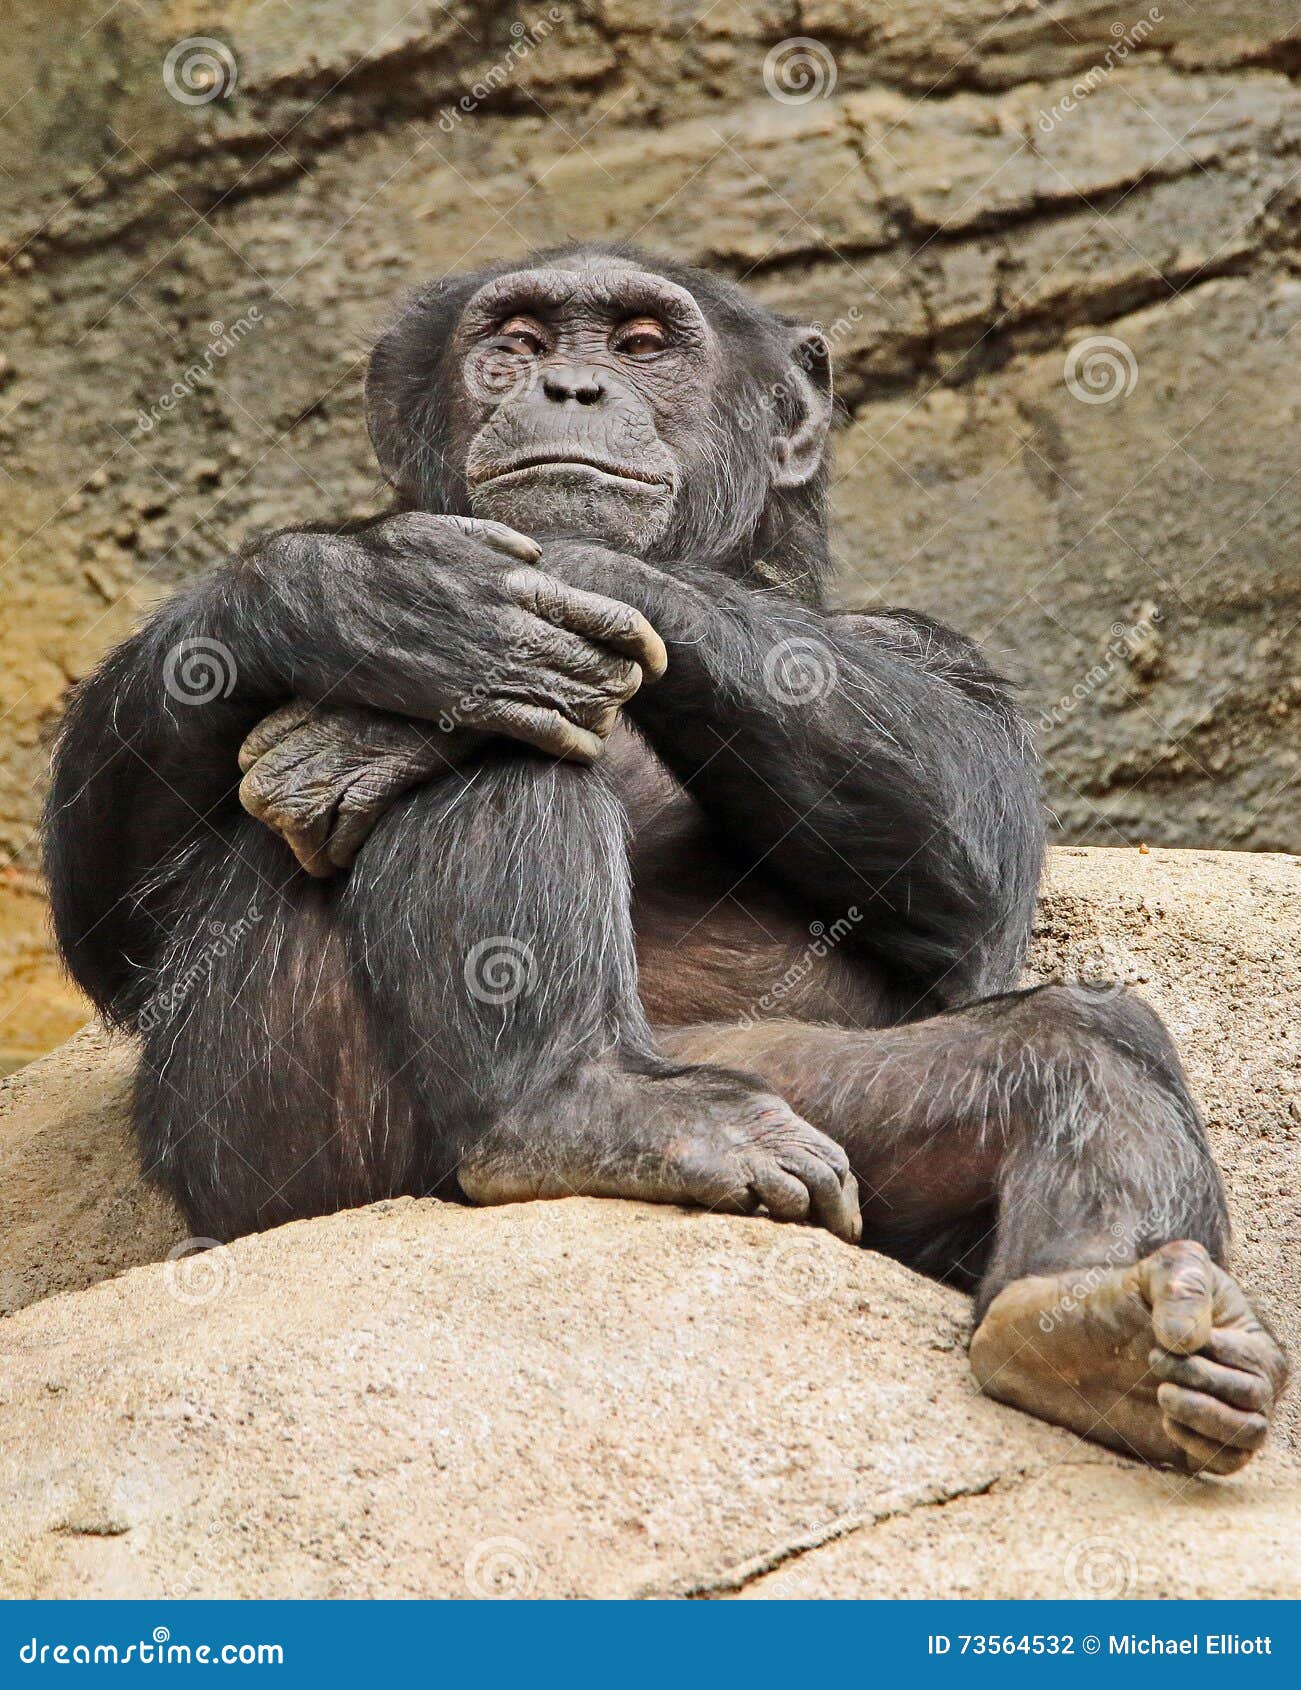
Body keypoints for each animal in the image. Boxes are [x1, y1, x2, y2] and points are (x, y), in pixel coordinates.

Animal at [44, 243, 1286, 1476]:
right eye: (517, 342)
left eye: (643, 344)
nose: (571, 387)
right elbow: (113, 924)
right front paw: (371, 597)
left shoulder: (938, 655)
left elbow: (968, 856)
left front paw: (440, 635)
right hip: (283, 1146)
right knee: (514, 727)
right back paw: (564, 1103)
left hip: (781, 1104)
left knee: (1067, 1046)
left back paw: (1101, 1339)